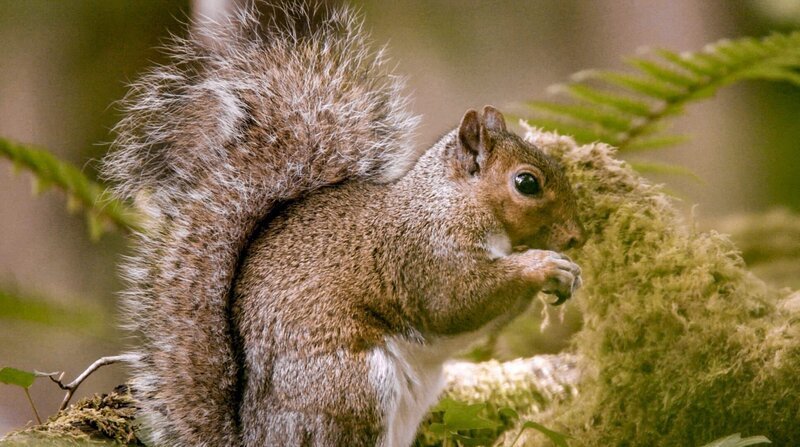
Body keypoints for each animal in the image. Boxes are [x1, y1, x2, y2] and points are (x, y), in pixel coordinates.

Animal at [102, 3, 585, 447]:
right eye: (526, 182)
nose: (576, 237)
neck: (450, 201)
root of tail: (255, 434)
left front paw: (566, 276)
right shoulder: (424, 253)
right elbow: (456, 299)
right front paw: (543, 265)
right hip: (351, 387)